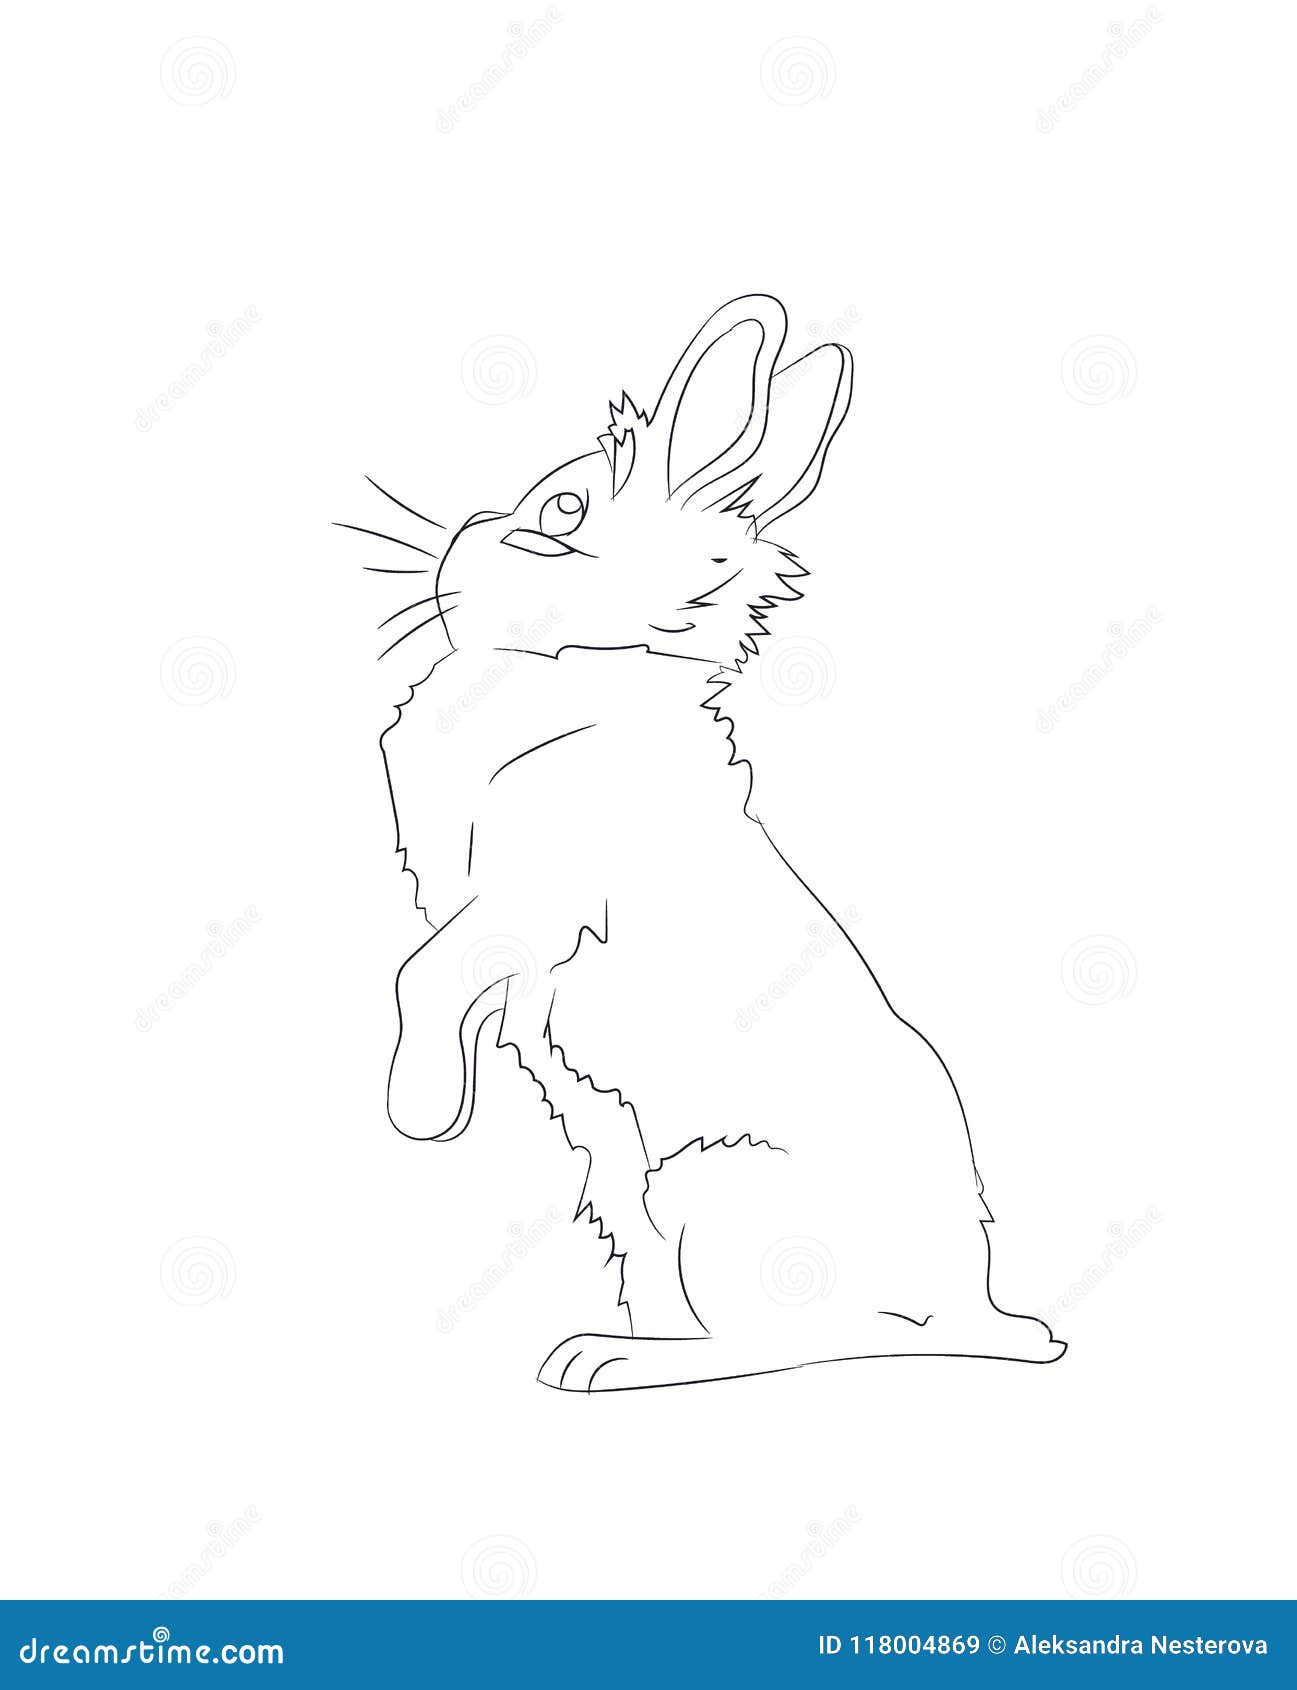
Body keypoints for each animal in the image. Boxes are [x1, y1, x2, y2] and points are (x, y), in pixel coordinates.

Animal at [358, 295, 1064, 1391]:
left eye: (563, 512)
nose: (459, 545)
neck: (583, 668)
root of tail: (968, 1303)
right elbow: (460, 982)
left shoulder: (531, 902)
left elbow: (421, 973)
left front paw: (422, 1111)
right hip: (630, 1203)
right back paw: (602, 1350)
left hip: (711, 1191)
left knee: (805, 1340)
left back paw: (610, 1363)